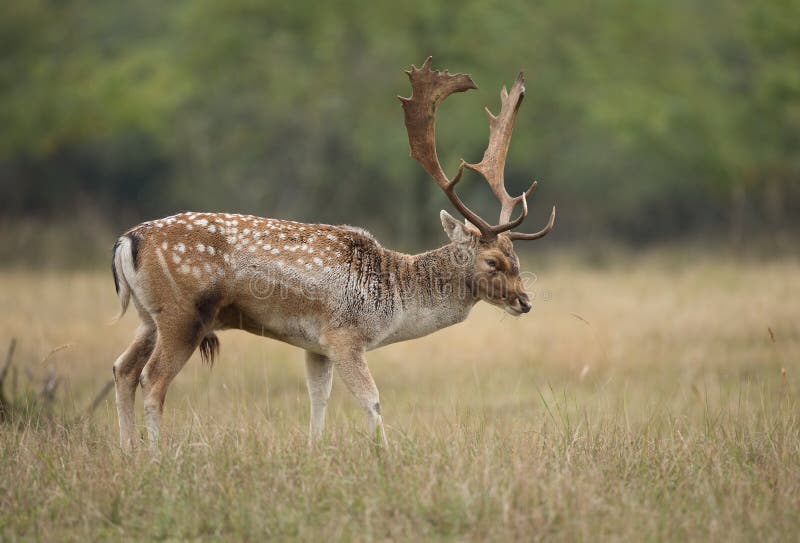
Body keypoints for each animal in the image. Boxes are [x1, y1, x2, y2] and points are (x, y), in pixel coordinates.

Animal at [110, 57, 555, 452]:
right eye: (492, 262)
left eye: (517, 259)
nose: (526, 301)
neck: (394, 298)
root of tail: (127, 241)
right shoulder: (345, 335)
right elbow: (371, 400)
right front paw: (384, 456)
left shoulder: (315, 344)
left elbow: (317, 399)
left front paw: (315, 452)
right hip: (183, 314)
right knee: (152, 380)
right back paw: (157, 456)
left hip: (148, 317)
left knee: (122, 369)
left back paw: (129, 451)